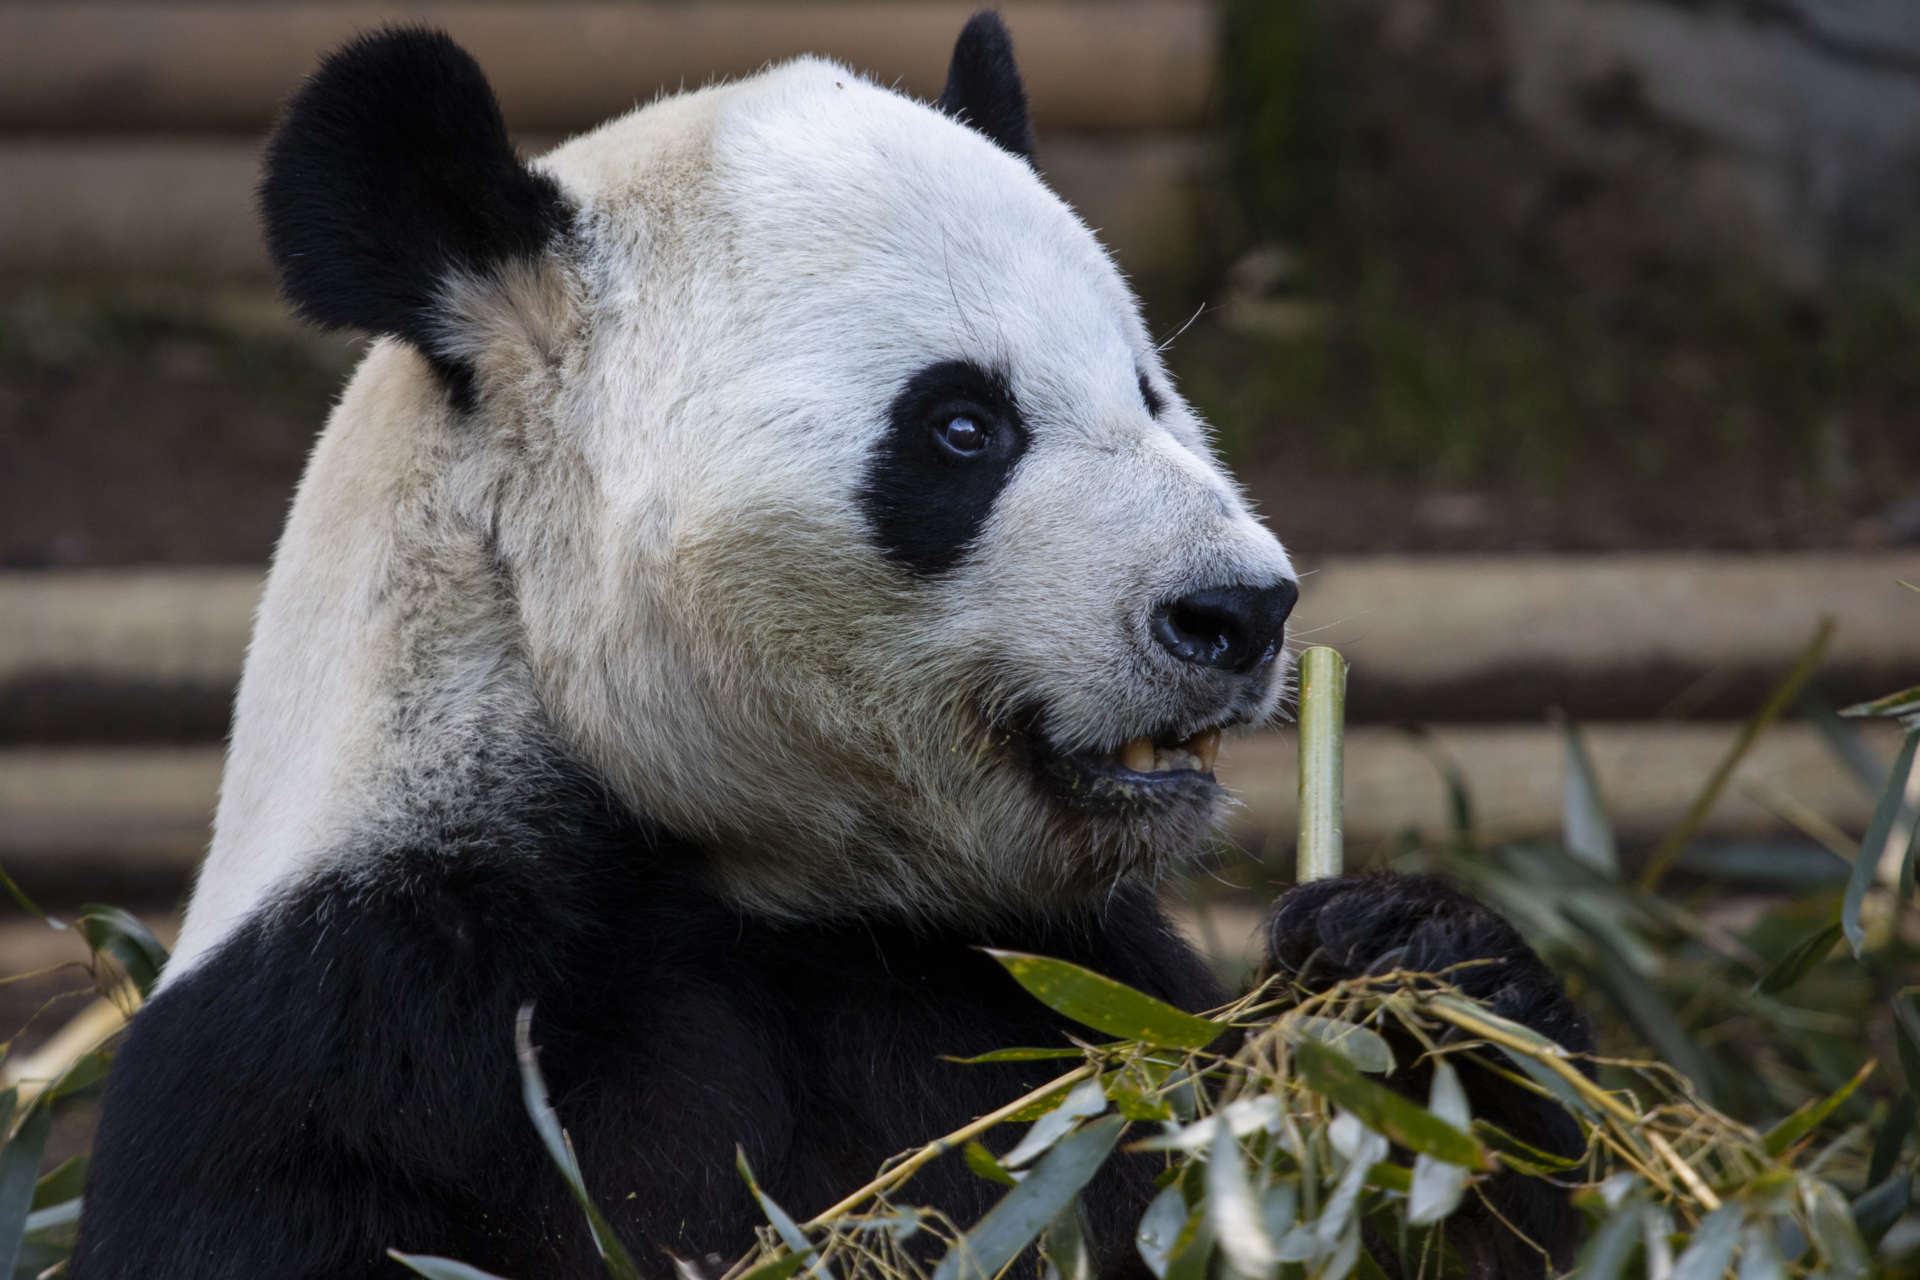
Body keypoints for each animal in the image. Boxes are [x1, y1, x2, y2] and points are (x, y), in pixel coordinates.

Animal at [72, 15, 1590, 1280]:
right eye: (963, 426)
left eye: (1151, 390)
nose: (1239, 610)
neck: (753, 884)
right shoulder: (351, 1035)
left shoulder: (1063, 1013)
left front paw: (1407, 984)